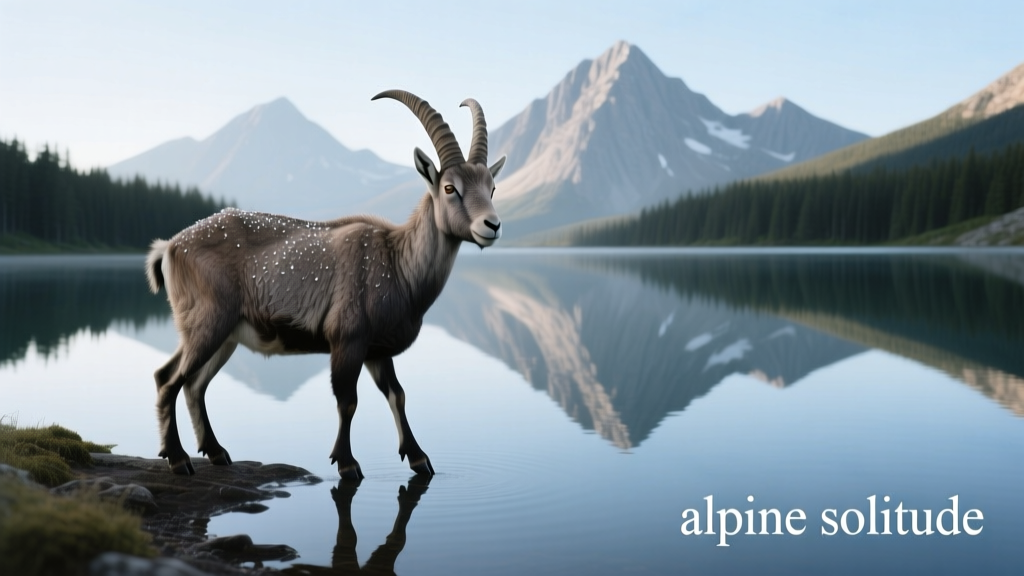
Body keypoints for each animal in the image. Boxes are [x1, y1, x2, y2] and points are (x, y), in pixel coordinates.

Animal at [145, 90, 506, 478]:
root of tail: (170, 247)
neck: (397, 263)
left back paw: (215, 452)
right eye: (450, 187)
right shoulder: (347, 339)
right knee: (169, 379)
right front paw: (347, 463)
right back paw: (178, 458)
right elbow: (348, 401)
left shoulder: (376, 349)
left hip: (225, 334)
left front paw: (419, 458)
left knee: (193, 384)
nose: (492, 225)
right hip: (208, 321)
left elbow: (397, 394)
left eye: (492, 187)